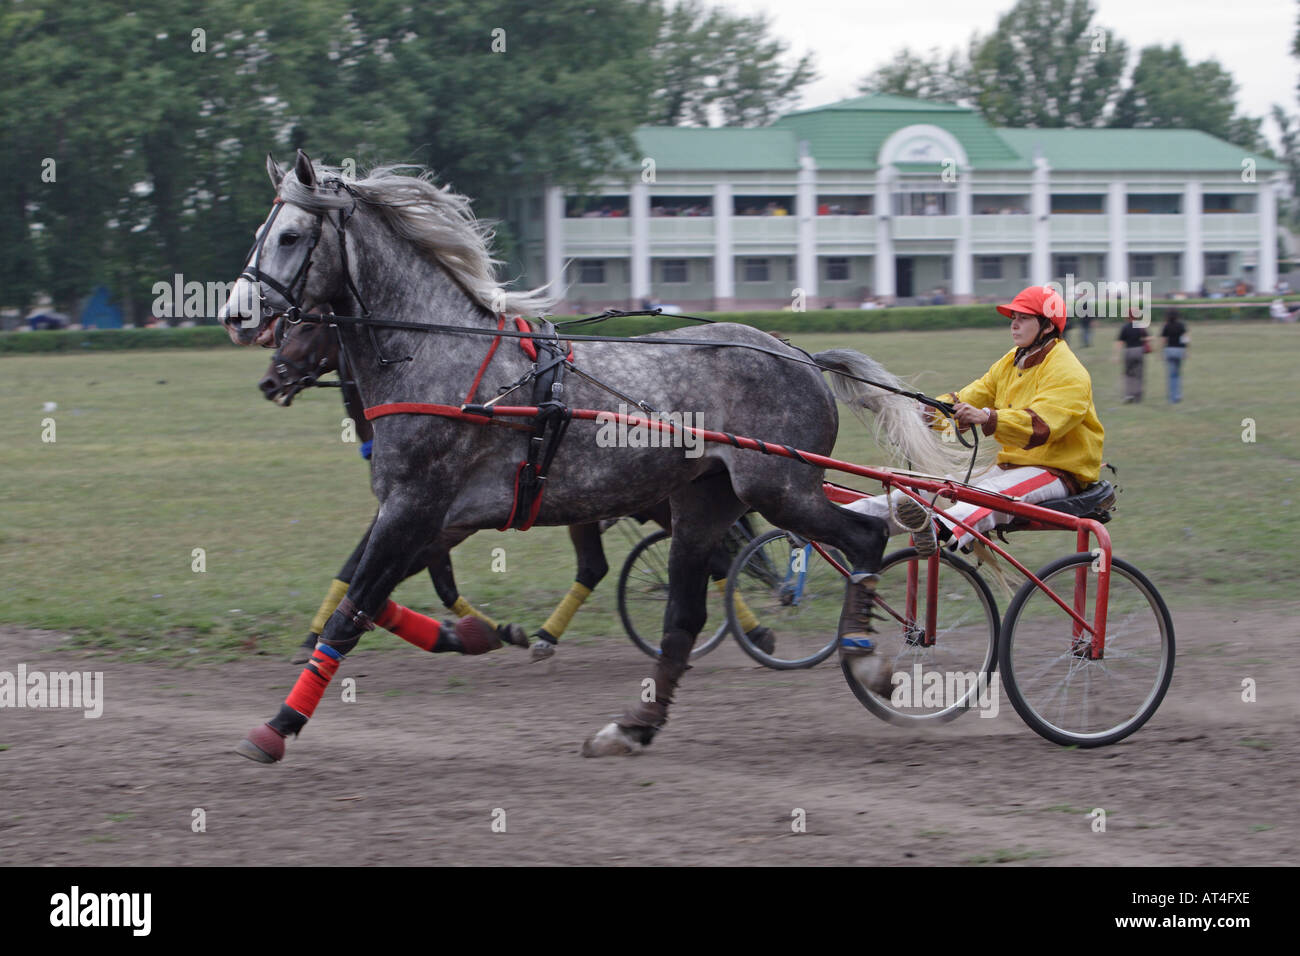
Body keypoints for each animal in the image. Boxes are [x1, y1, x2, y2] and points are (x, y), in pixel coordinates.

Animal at [220, 150, 966, 762]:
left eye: (291, 236)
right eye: (259, 232)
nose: (235, 315)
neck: (440, 355)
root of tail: (801, 353)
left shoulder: (416, 506)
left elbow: (353, 610)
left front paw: (278, 726)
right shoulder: (427, 515)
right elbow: (370, 595)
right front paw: (473, 635)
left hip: (779, 487)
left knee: (863, 536)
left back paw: (866, 657)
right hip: (703, 501)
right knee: (685, 616)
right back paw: (633, 725)